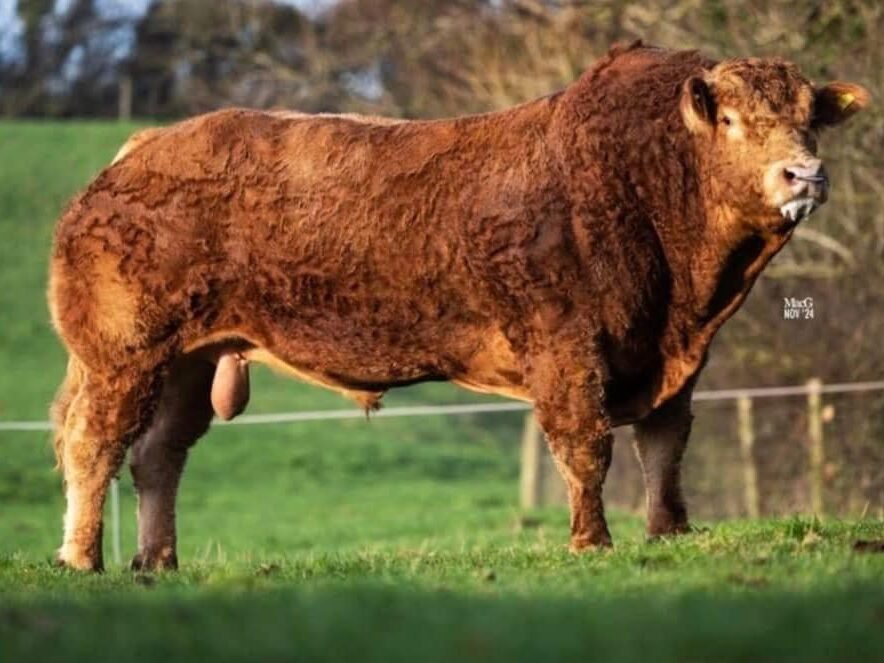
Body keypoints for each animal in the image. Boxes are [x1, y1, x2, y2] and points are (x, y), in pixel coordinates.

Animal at [47, 41, 869, 571]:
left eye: (810, 118)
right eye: (730, 120)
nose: (804, 173)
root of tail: (142, 149)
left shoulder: (677, 359)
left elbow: (664, 446)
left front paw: (669, 534)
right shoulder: (567, 347)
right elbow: (586, 447)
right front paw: (591, 542)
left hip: (191, 358)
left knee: (158, 455)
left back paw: (157, 560)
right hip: (123, 355)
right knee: (95, 444)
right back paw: (82, 558)